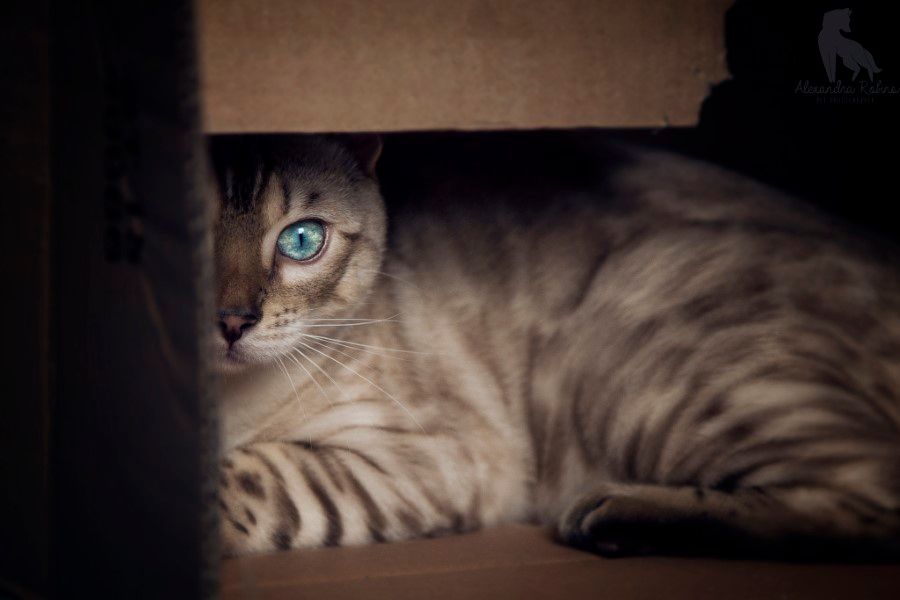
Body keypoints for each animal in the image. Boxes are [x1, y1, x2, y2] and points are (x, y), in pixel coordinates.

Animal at [213, 131, 900, 556]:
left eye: (302, 240)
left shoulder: (426, 458)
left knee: (872, 500)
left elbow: (253, 478)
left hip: (632, 363)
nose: (231, 321)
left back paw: (608, 513)